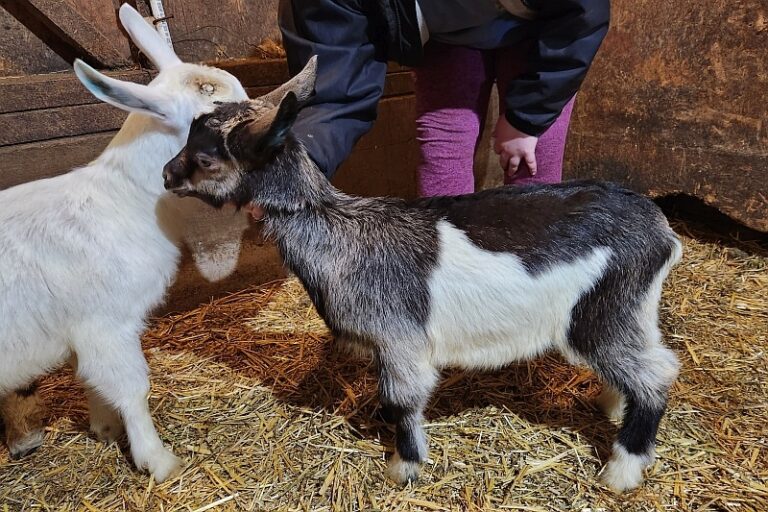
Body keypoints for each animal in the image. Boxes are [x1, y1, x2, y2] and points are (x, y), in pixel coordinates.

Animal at [0, 4, 247, 481]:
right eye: (212, 101)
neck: (125, 201)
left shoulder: (81, 331)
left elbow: (90, 379)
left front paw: (104, 429)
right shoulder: (106, 324)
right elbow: (133, 388)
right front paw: (158, 460)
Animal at [163, 58, 682, 492]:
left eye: (206, 159)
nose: (167, 175)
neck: (339, 231)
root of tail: (661, 231)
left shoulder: (399, 337)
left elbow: (403, 398)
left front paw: (403, 466)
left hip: (602, 311)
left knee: (655, 374)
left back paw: (622, 470)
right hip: (629, 311)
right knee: (643, 362)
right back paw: (611, 405)